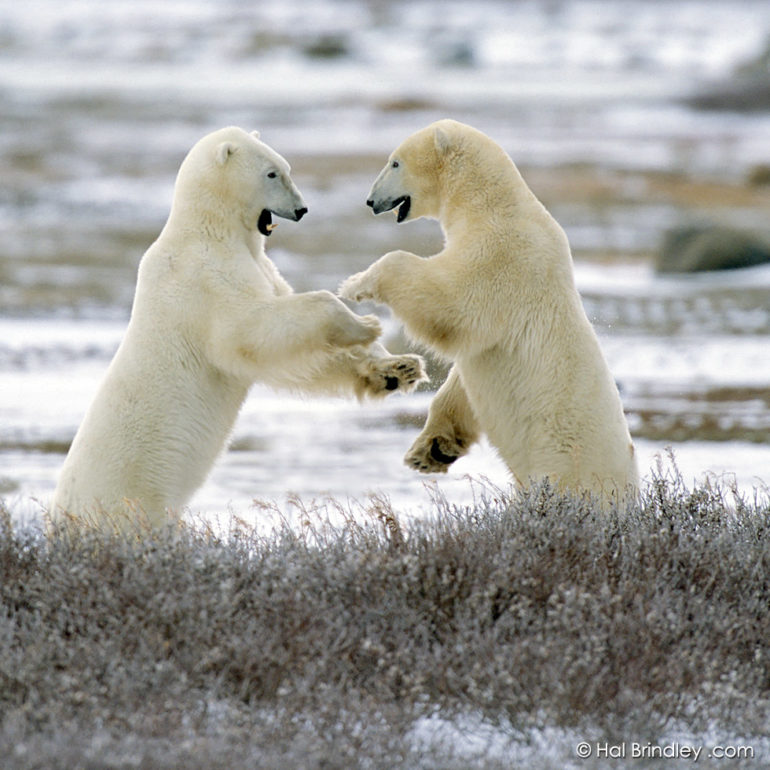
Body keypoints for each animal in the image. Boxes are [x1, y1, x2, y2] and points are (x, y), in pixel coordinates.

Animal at [51, 126, 426, 531]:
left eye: (286, 167)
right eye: (271, 173)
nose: (302, 209)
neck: (209, 230)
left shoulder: (260, 268)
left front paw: (398, 369)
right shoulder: (206, 278)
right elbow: (251, 330)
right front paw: (365, 324)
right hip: (129, 497)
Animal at [339, 119, 639, 504]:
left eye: (394, 163)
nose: (371, 200)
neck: (492, 204)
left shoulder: (503, 255)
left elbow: (453, 303)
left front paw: (355, 284)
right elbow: (463, 378)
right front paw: (430, 451)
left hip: (565, 464)